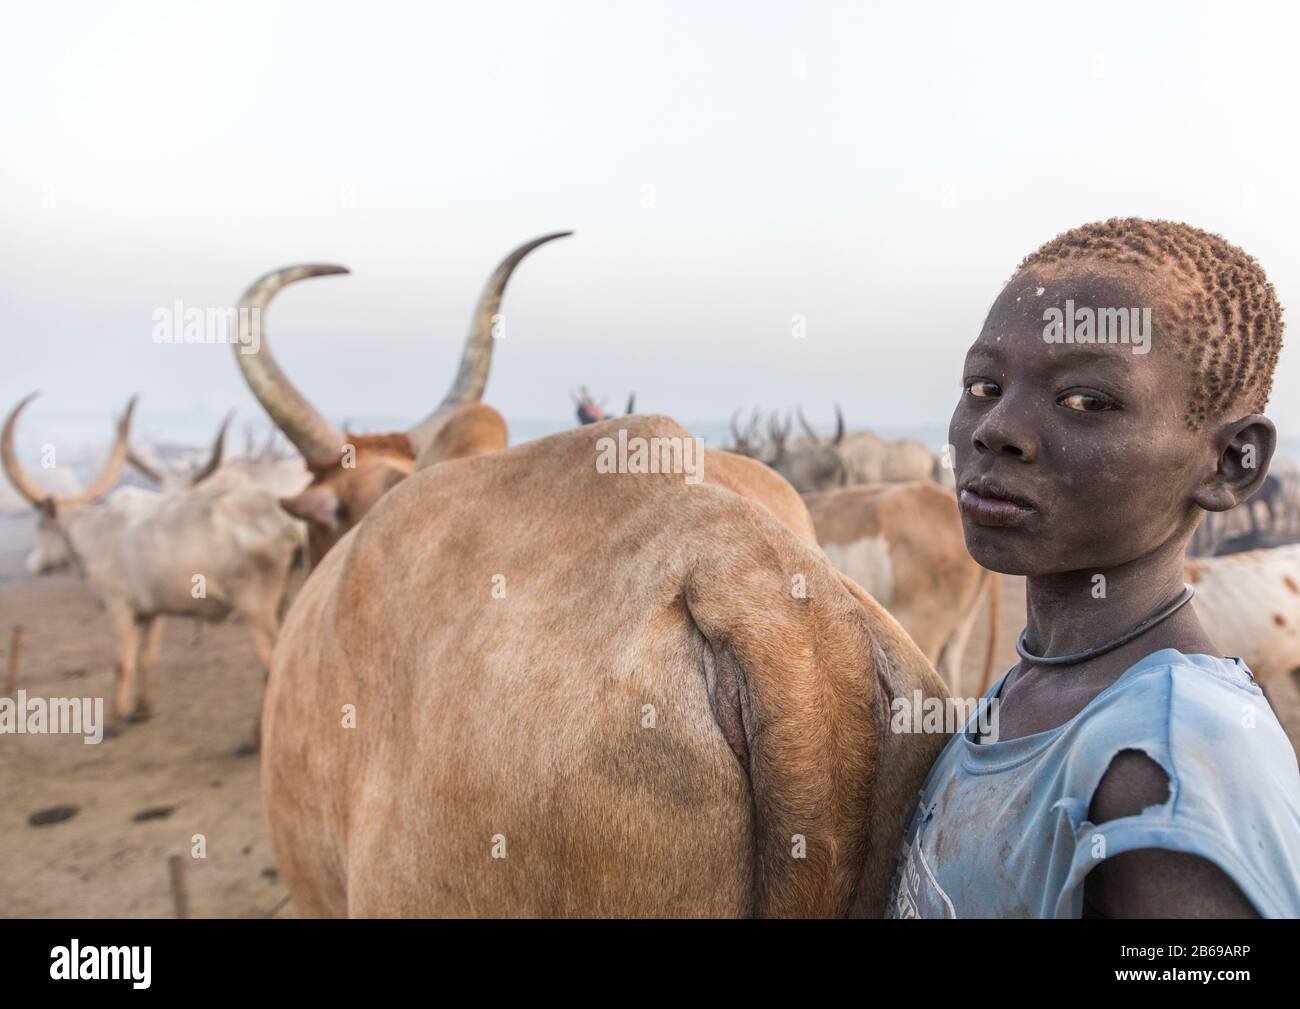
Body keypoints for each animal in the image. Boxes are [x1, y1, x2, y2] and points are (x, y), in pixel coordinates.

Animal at [2, 393, 305, 749]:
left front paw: (115, 721)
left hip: (255, 607)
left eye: (40, 525)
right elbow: (147, 657)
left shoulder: (119, 607)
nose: (32, 564)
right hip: (282, 602)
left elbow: (123, 662)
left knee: (271, 665)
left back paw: (253, 740)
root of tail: (285, 523)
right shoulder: (153, 611)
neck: (96, 531)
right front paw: (141, 710)